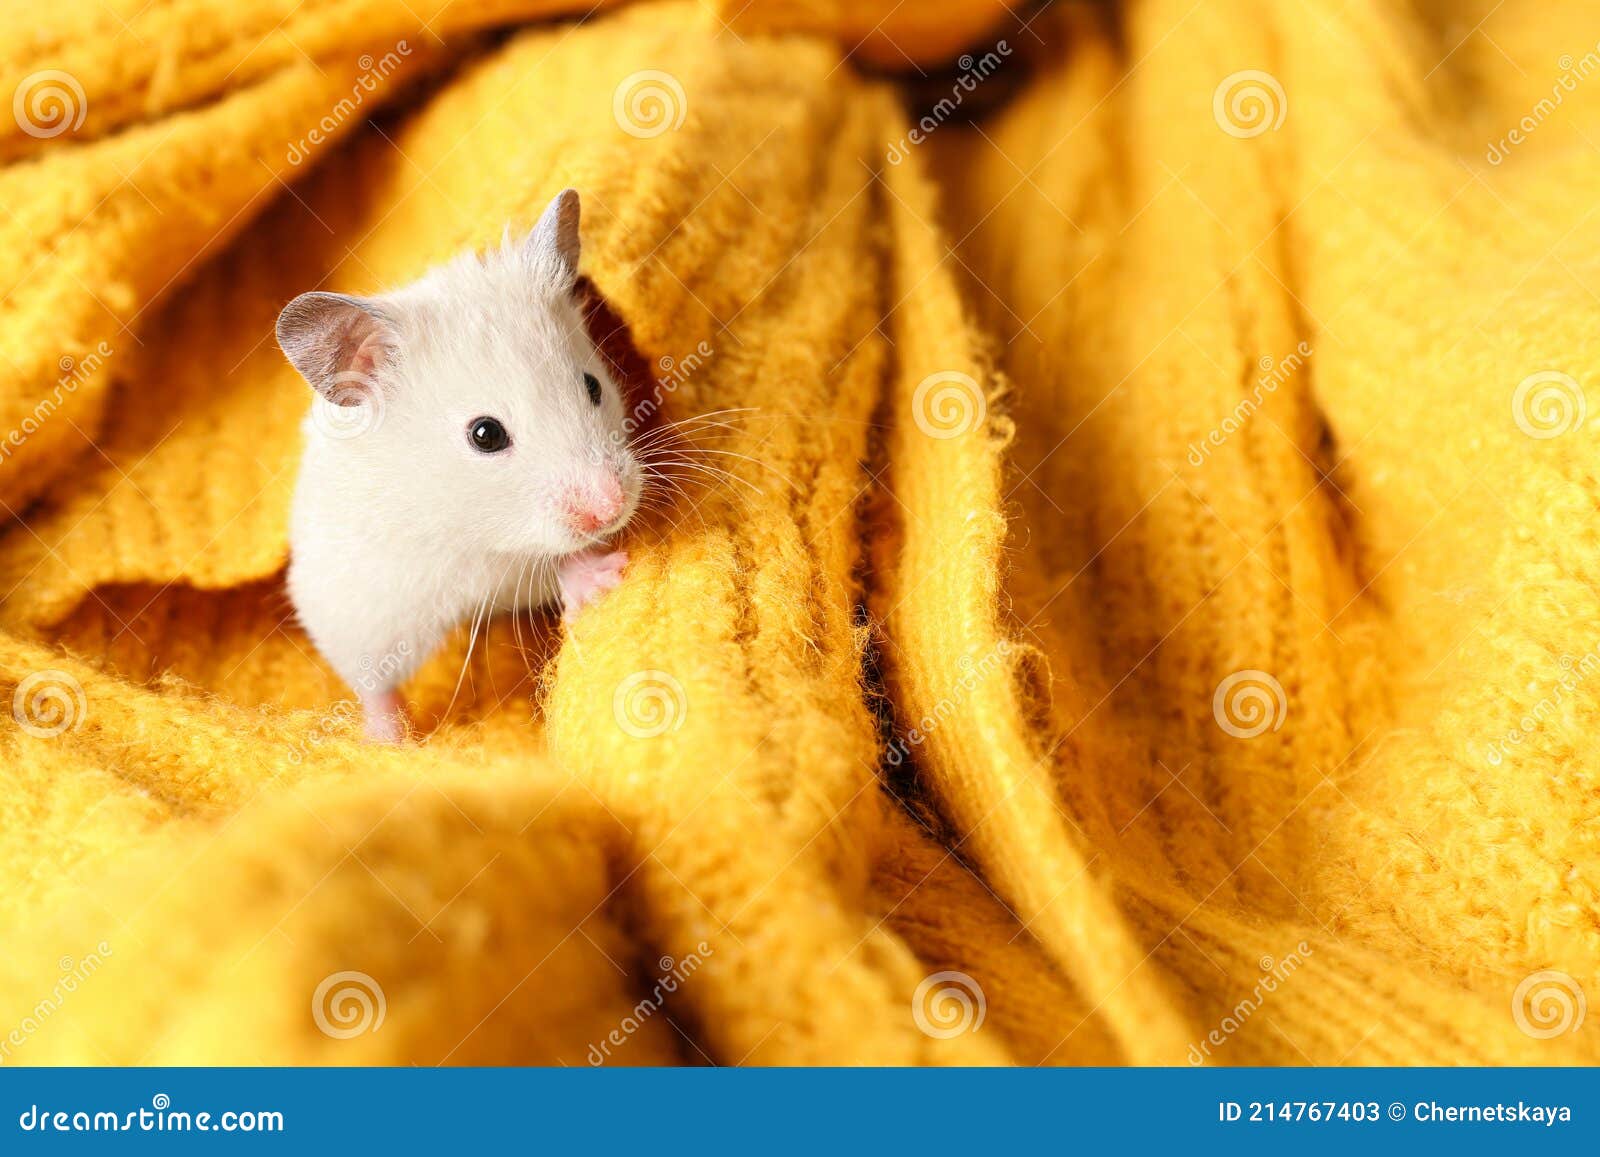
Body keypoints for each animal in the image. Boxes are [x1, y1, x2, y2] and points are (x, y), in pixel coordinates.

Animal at [276, 189, 643, 741]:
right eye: (484, 434)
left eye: (593, 385)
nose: (612, 508)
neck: (464, 518)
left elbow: (551, 563)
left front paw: (608, 570)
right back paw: (390, 740)